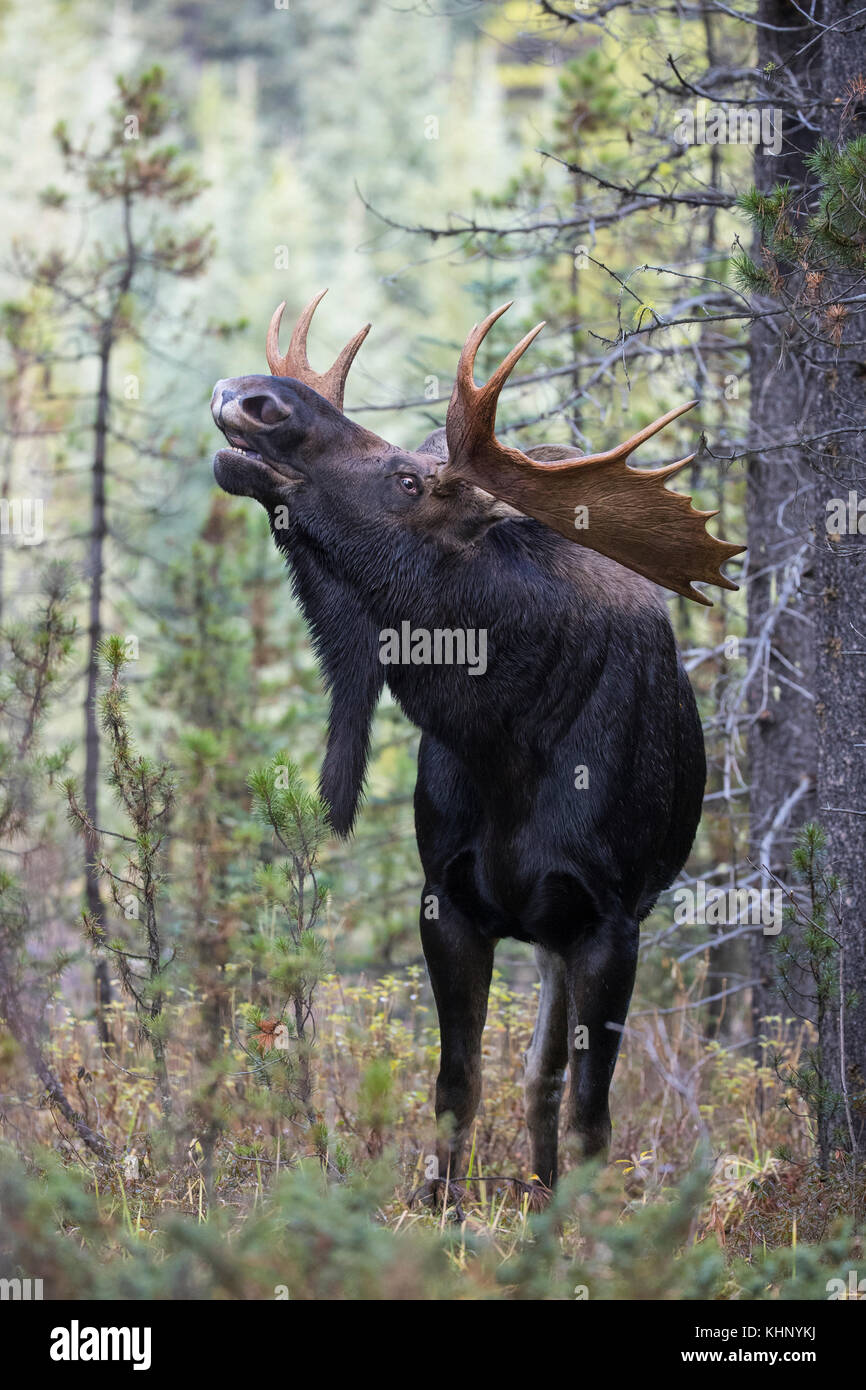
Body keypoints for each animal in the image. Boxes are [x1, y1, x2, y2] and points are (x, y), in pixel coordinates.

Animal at [210, 292, 743, 1204]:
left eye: (409, 479)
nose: (252, 396)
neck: (510, 745)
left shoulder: (609, 919)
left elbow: (591, 1116)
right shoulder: (448, 900)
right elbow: (455, 1087)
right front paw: (440, 1208)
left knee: (547, 1080)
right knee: (532, 1077)